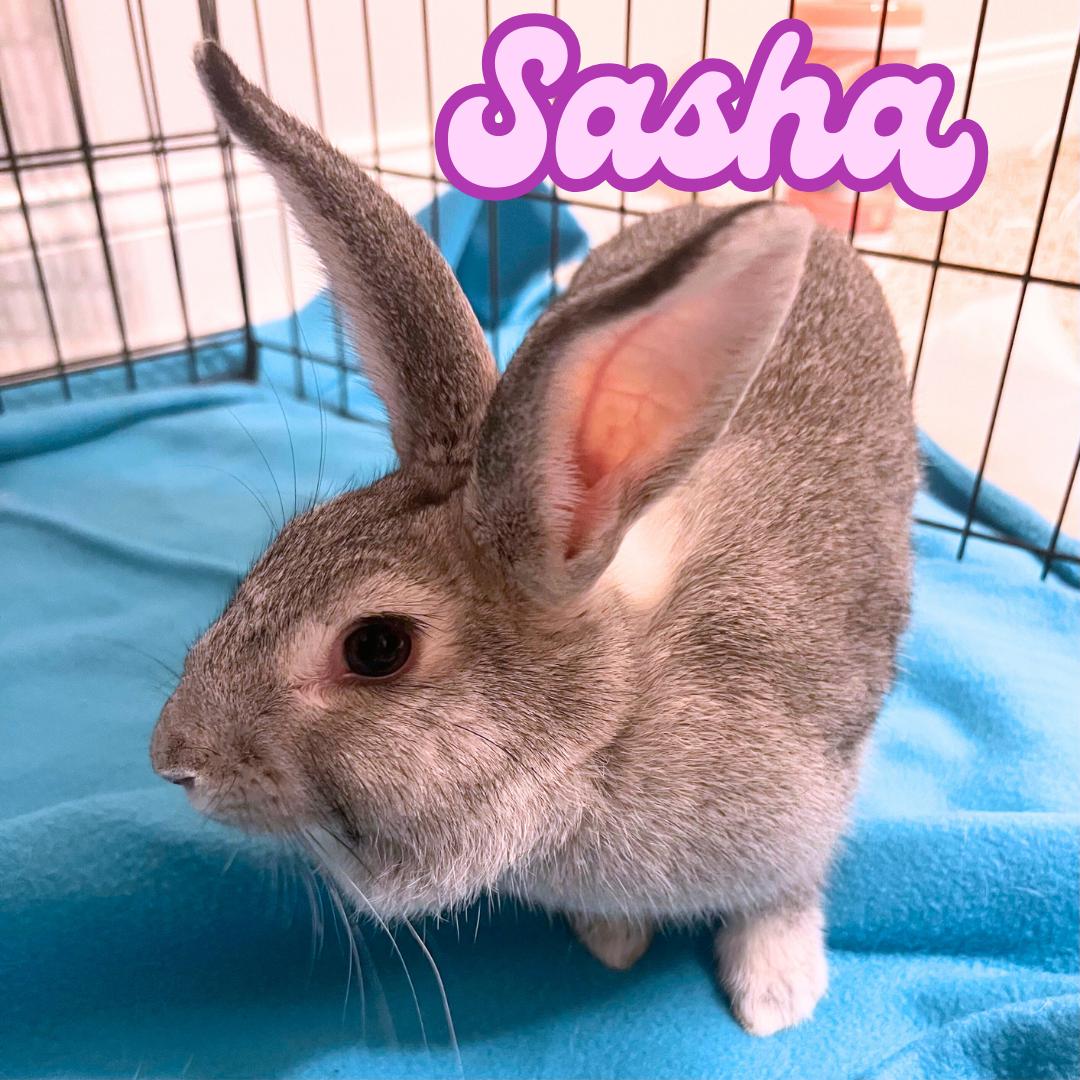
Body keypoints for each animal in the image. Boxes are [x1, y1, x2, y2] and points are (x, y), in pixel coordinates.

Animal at [150, 40, 918, 1038]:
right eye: (285, 543)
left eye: (377, 647)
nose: (173, 760)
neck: (608, 718)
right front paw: (612, 938)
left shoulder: (816, 784)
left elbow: (787, 891)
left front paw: (775, 996)